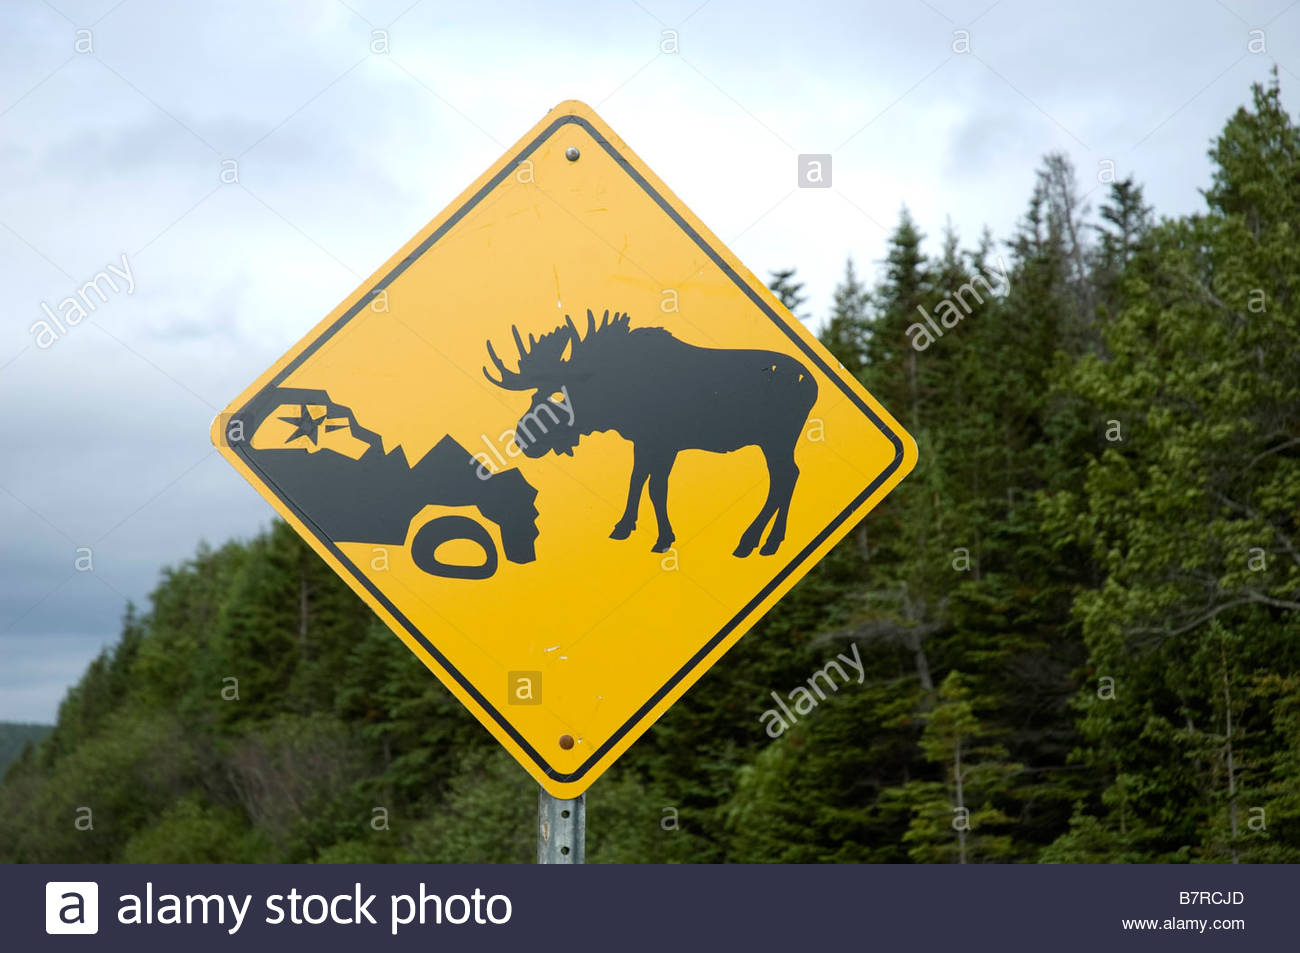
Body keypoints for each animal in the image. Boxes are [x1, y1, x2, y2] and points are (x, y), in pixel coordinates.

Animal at [482, 309, 818, 557]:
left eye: (556, 396)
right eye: (533, 397)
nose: (521, 439)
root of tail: (814, 385)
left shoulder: (665, 443)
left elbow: (657, 488)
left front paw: (664, 539)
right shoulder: (644, 442)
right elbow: (637, 479)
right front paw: (623, 526)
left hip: (777, 438)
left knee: (785, 477)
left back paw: (753, 540)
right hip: (776, 441)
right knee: (789, 476)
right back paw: (768, 541)